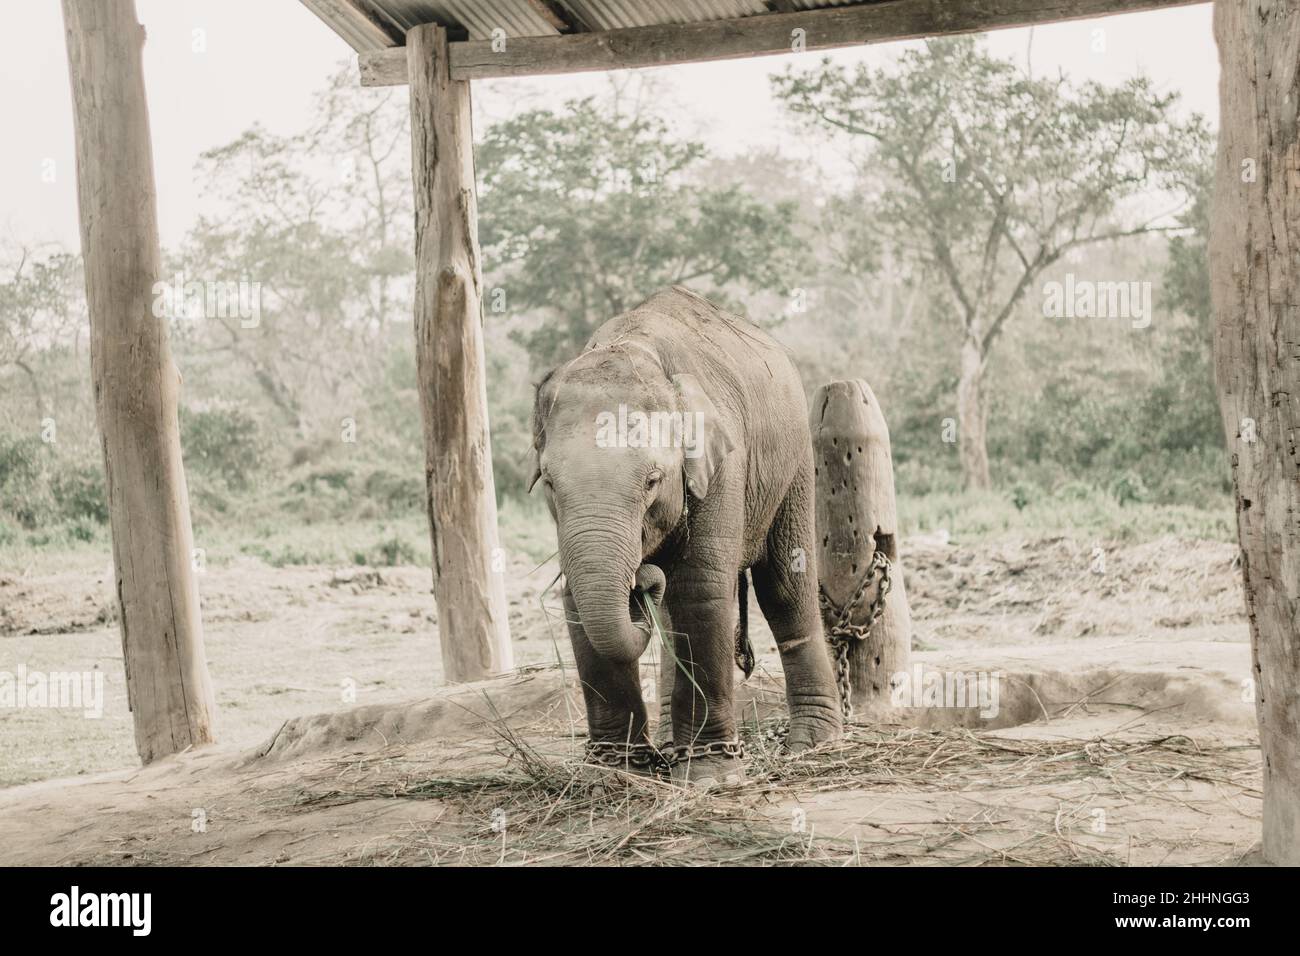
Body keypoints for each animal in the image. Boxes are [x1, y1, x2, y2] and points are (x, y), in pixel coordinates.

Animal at [530, 286, 843, 784]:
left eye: (652, 481)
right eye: (550, 483)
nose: (642, 580)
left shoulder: (723, 466)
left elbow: (699, 587)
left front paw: (710, 773)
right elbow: (576, 594)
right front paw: (614, 771)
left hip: (794, 464)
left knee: (783, 590)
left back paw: (814, 744)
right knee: (673, 613)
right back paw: (668, 744)